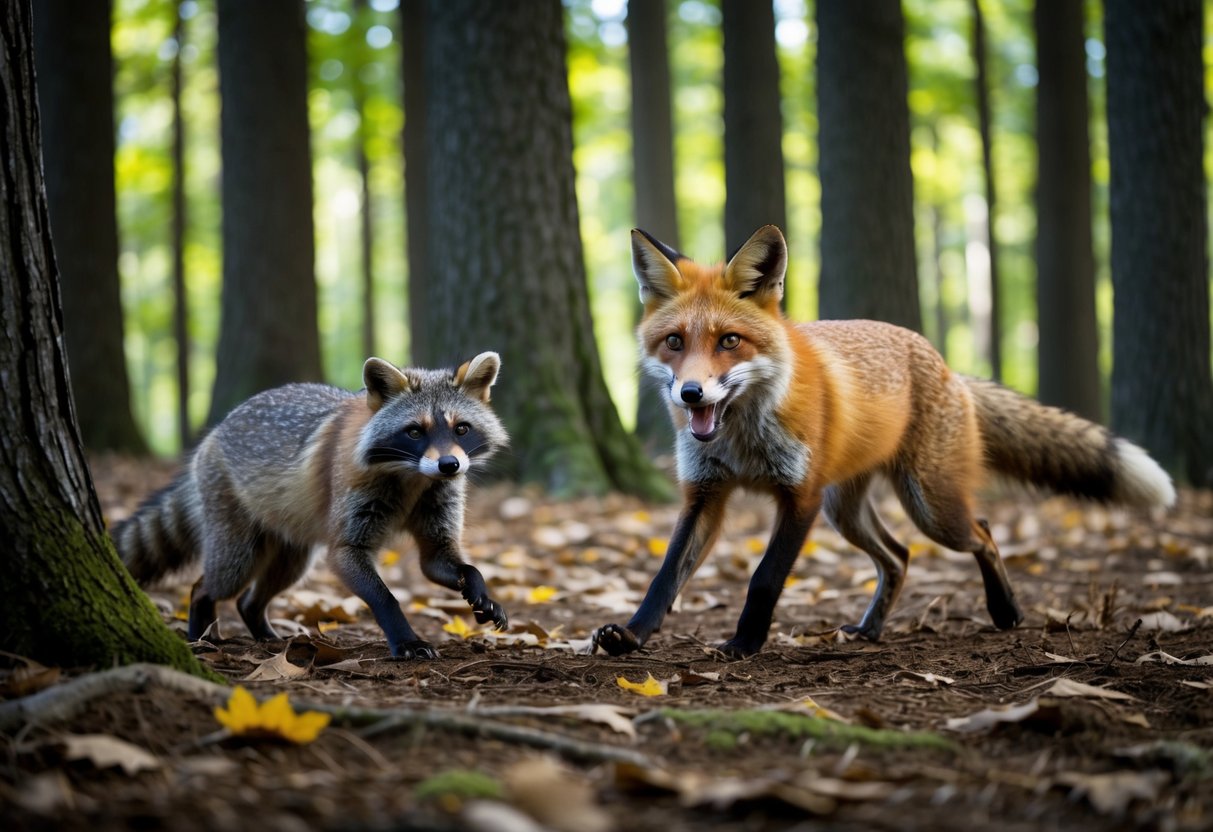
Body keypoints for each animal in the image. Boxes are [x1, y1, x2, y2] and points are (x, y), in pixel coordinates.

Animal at [113, 352, 510, 660]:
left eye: (461, 429)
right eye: (415, 432)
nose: (449, 466)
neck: (412, 482)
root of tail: (215, 431)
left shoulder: (436, 521)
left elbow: (449, 565)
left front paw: (479, 590)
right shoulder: (347, 540)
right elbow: (385, 598)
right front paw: (405, 639)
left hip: (293, 559)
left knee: (248, 603)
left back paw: (265, 636)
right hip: (239, 555)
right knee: (206, 587)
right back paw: (199, 633)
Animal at [594, 225, 1176, 659]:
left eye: (729, 341)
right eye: (674, 342)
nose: (691, 394)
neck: (741, 439)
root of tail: (947, 366)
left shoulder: (800, 497)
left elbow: (763, 580)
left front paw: (744, 642)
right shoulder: (706, 495)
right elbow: (665, 577)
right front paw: (632, 635)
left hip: (928, 507)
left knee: (983, 532)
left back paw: (1006, 611)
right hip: (846, 512)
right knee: (898, 556)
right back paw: (871, 629)